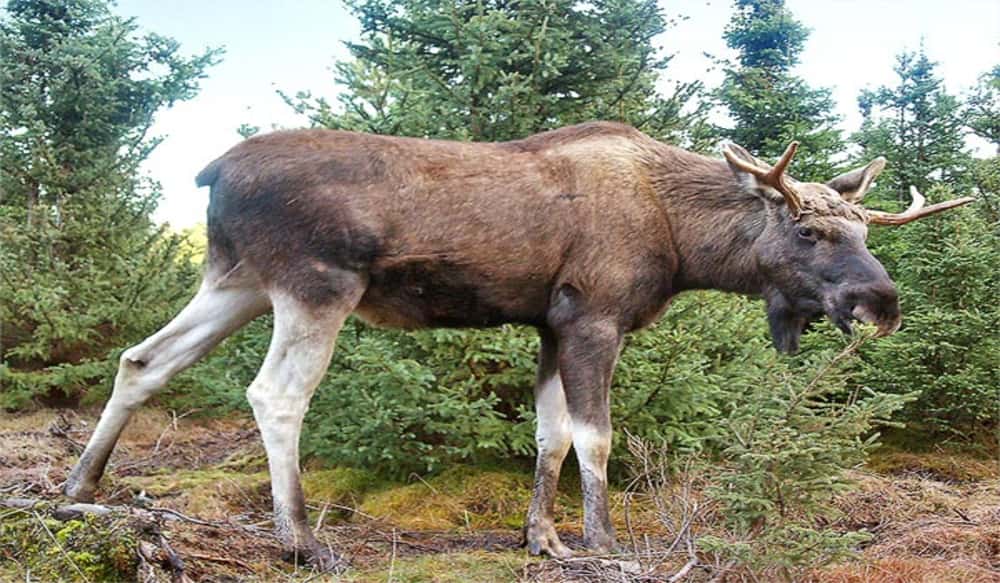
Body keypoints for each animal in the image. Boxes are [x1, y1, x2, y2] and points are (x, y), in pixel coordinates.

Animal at [64, 122, 973, 569]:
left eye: (865, 231)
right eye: (810, 230)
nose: (883, 301)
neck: (685, 243)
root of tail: (208, 172)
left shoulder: (549, 321)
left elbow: (549, 435)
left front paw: (543, 538)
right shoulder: (594, 316)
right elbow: (596, 437)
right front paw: (604, 543)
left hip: (238, 279)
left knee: (141, 360)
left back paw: (81, 488)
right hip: (314, 284)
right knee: (275, 394)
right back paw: (299, 540)